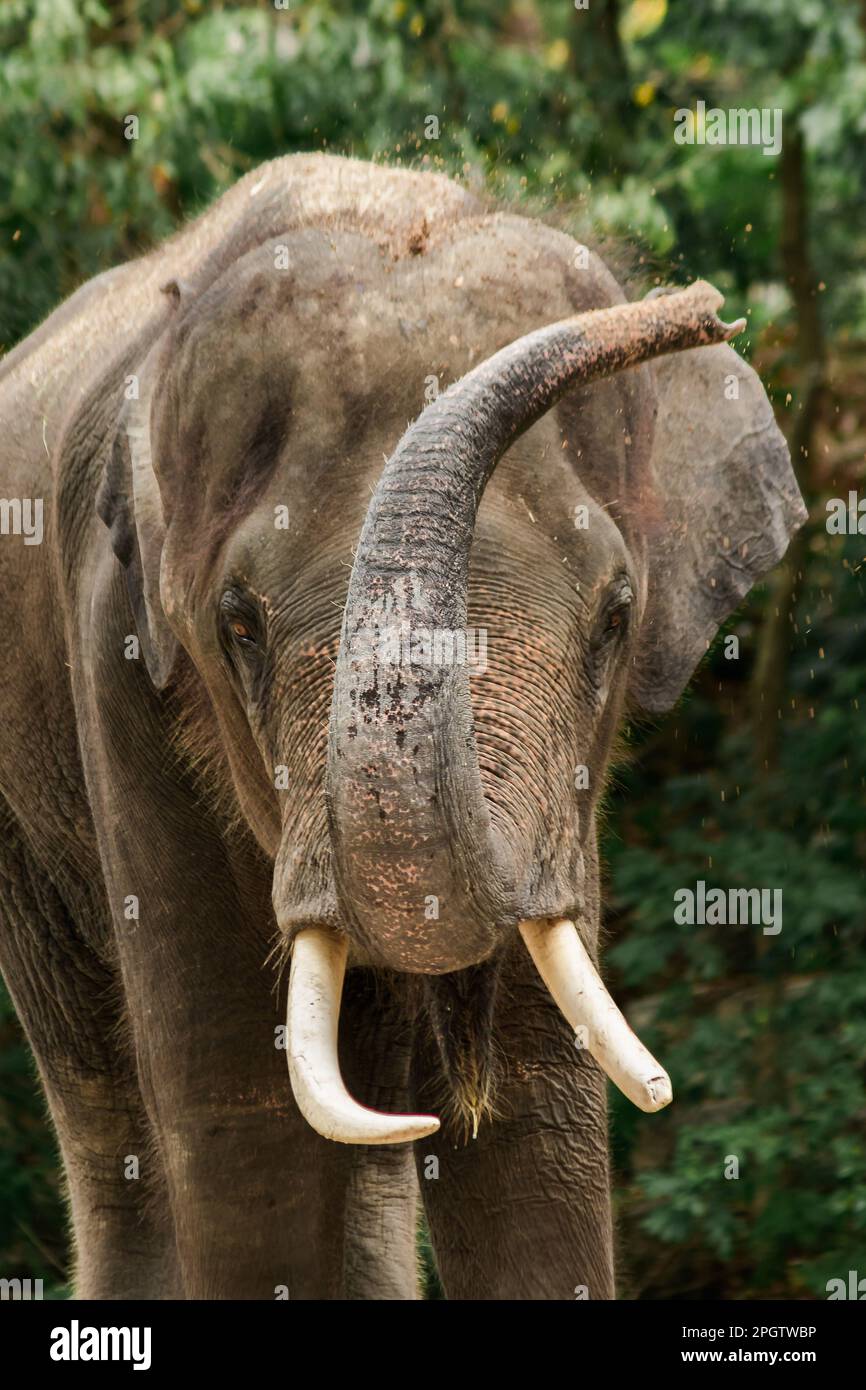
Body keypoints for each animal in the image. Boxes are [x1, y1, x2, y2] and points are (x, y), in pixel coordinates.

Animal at [0, 153, 806, 1300]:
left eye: (615, 618)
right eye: (238, 625)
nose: (700, 306)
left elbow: (536, 1131)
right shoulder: (113, 657)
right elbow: (239, 1115)